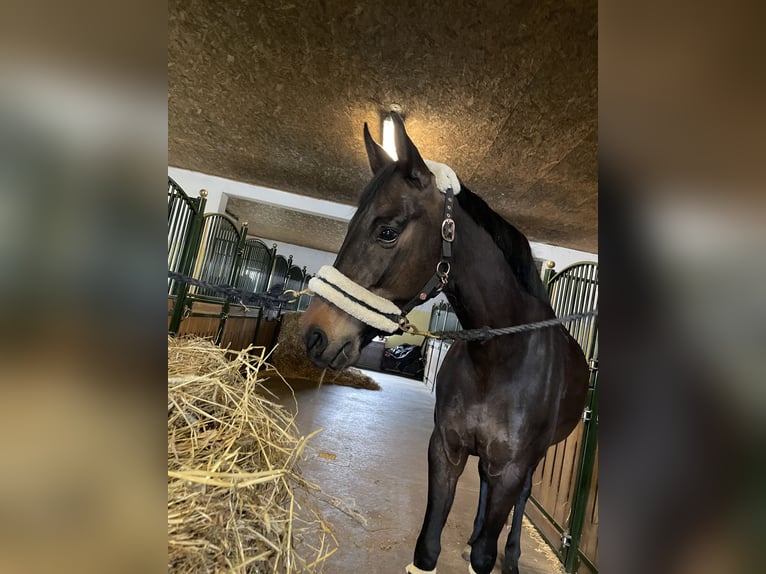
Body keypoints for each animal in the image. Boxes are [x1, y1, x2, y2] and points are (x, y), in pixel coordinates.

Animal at [300, 113, 588, 574]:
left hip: (534, 461)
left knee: (522, 500)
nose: (315, 334)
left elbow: (486, 554)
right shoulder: (446, 450)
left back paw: (512, 556)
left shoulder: (512, 466)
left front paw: (494, 553)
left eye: (387, 230)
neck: (499, 358)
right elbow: (427, 549)